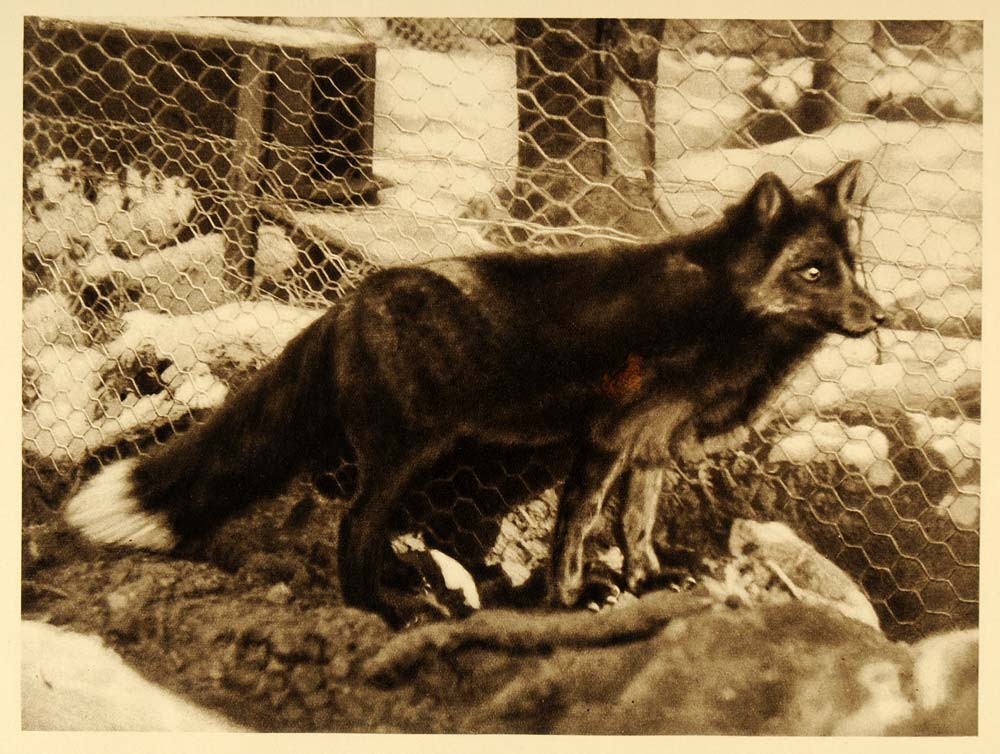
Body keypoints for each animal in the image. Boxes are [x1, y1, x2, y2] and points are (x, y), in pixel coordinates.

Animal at [63, 161, 885, 624]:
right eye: (813, 271)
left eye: (855, 264)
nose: (877, 316)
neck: (714, 317)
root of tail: (350, 300)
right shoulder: (604, 439)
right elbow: (578, 527)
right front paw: (569, 600)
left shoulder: (653, 446)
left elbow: (636, 527)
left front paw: (651, 583)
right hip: (405, 455)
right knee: (352, 528)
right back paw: (380, 612)